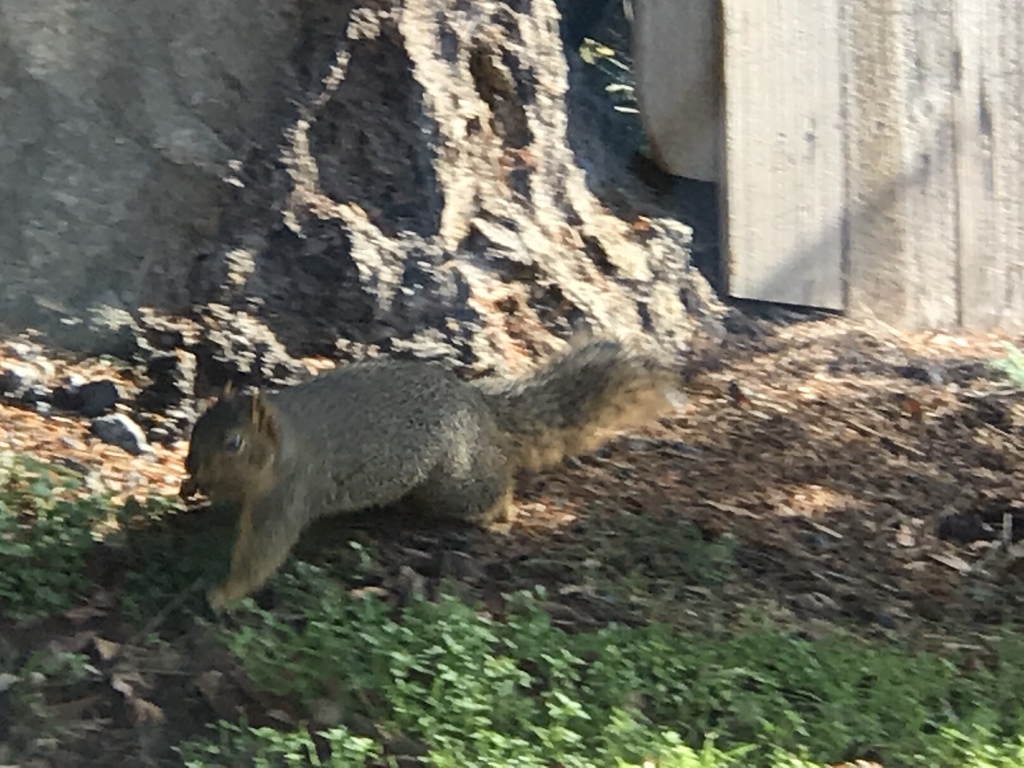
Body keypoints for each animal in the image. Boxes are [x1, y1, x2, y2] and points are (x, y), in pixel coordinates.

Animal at [180, 337, 685, 611]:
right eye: (195, 427)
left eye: (234, 443)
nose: (189, 467)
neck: (286, 441)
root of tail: (478, 405)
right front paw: (196, 489)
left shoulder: (288, 495)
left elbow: (261, 554)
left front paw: (222, 593)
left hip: (454, 481)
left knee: (493, 487)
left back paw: (500, 513)